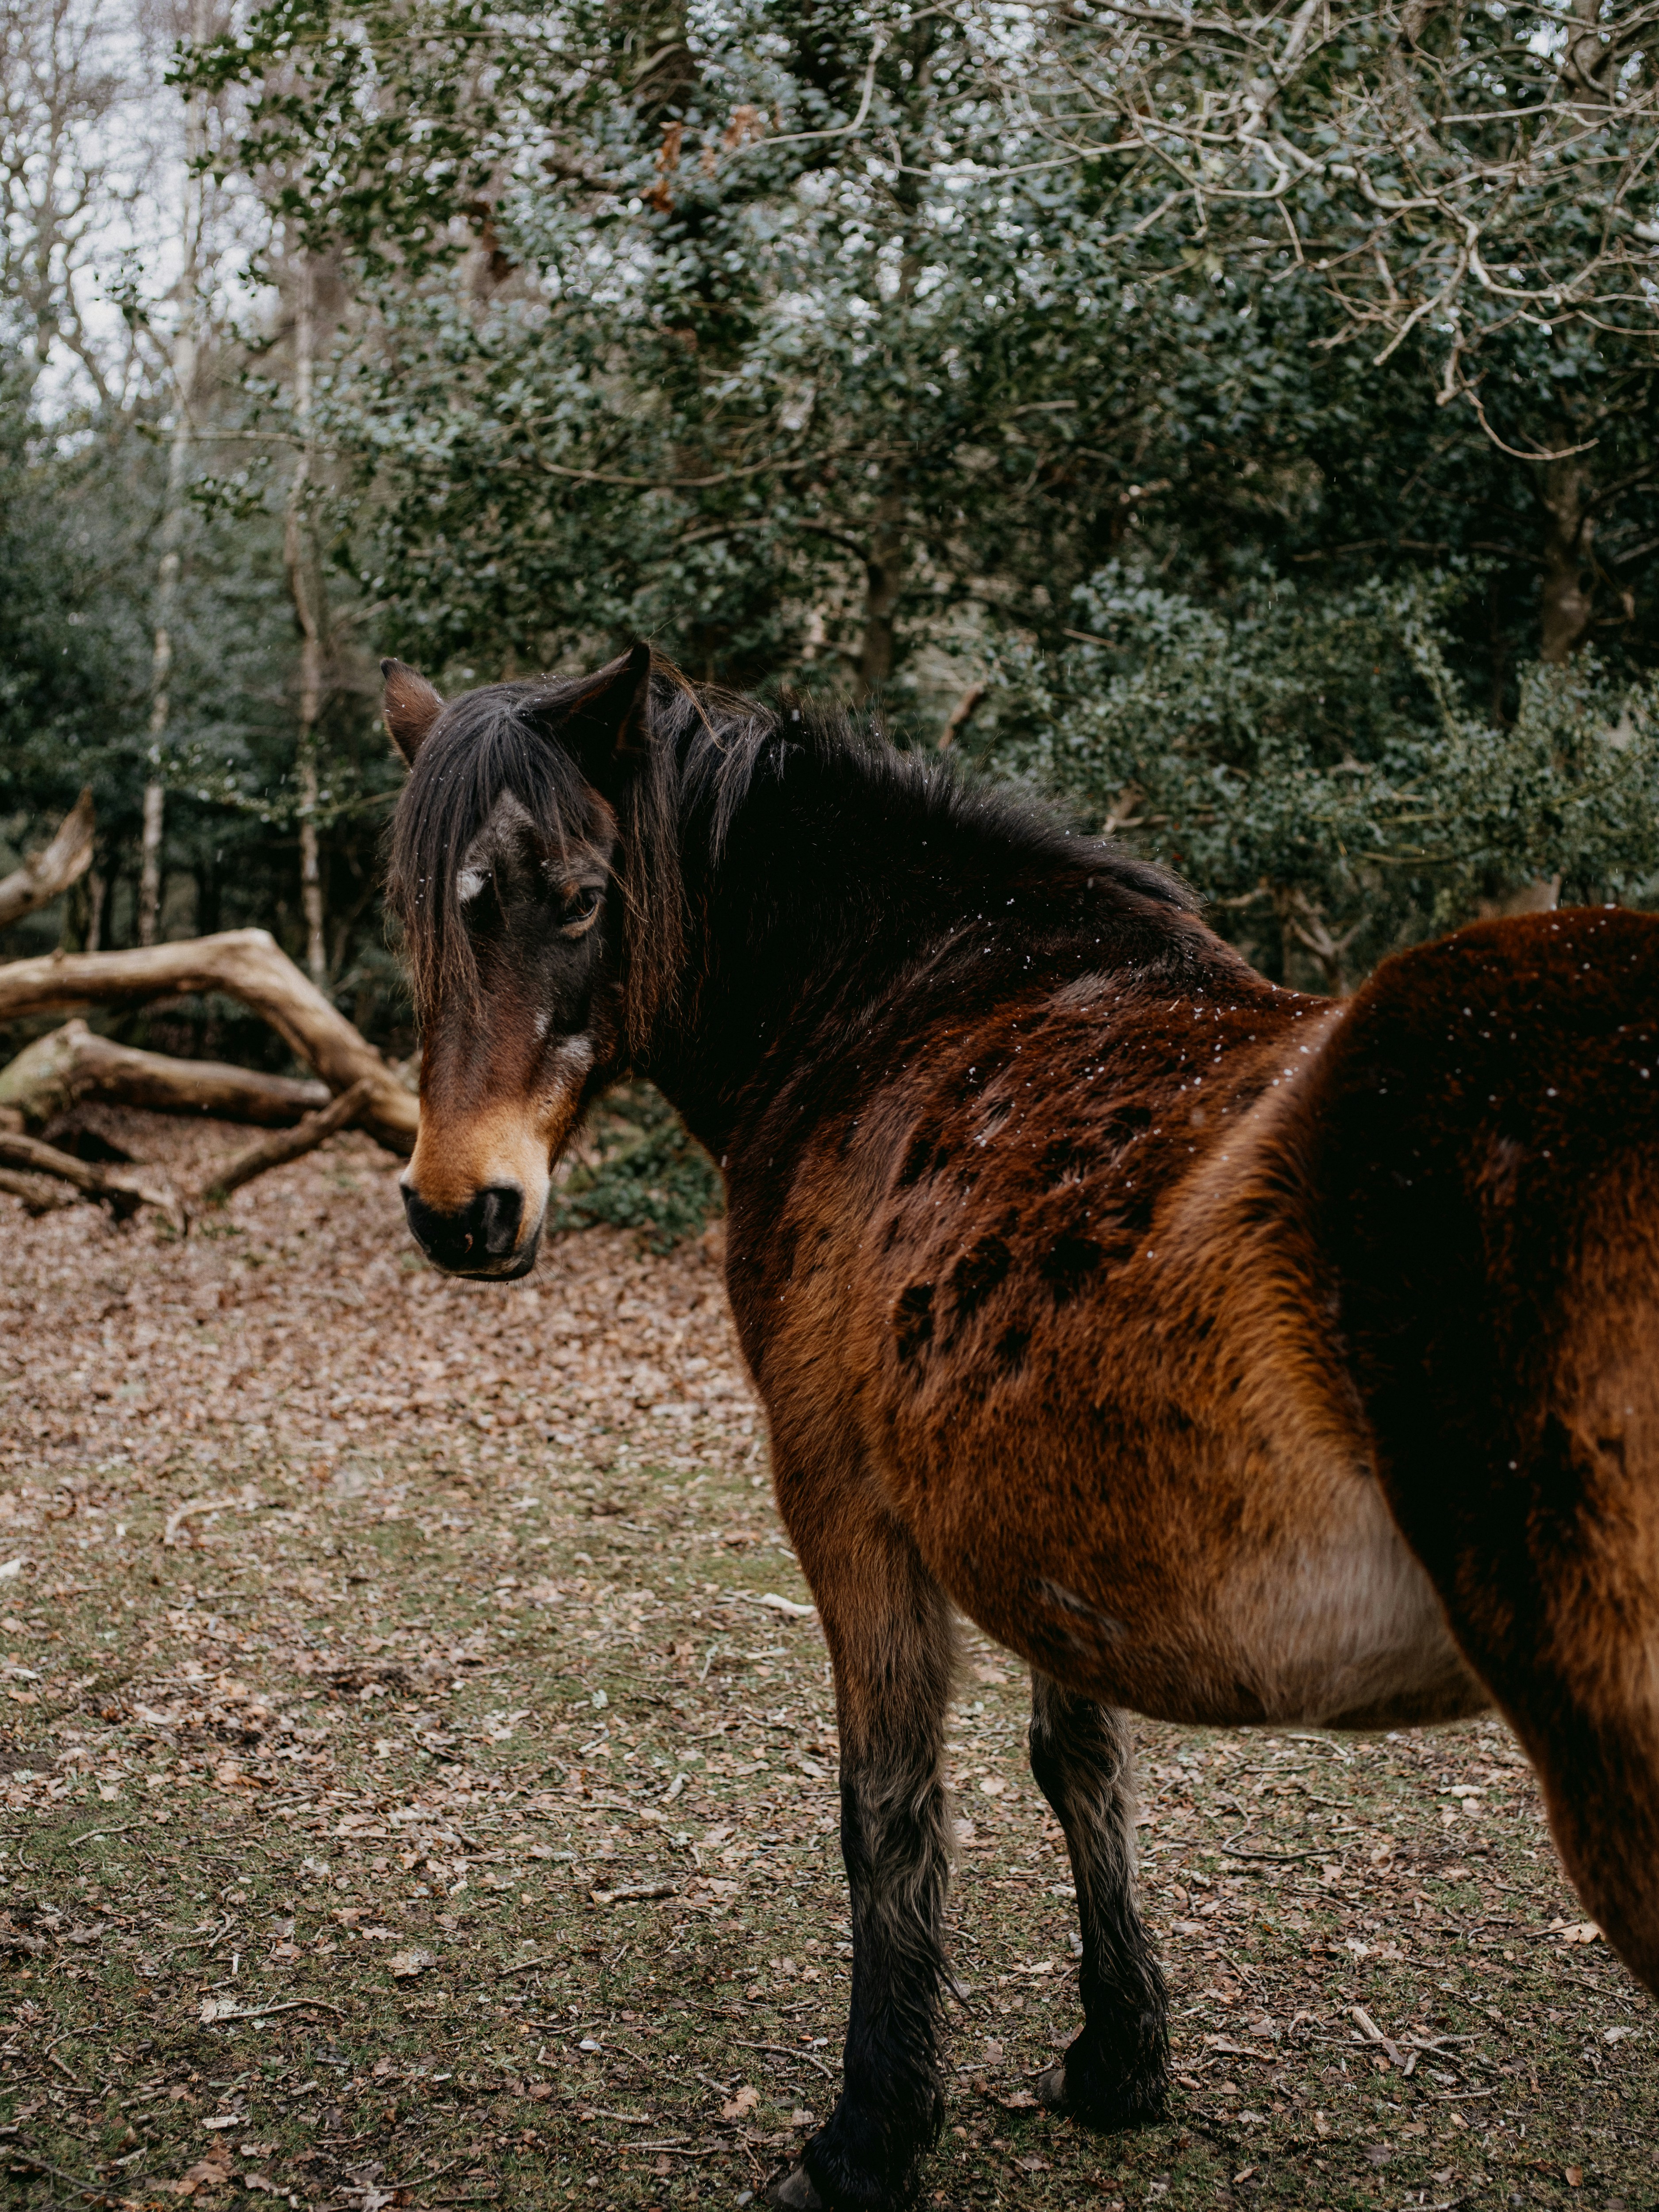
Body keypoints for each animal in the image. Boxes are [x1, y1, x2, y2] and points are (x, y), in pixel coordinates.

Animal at [381, 642, 1659, 2212]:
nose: (460, 1208)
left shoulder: (846, 1504)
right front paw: (1118, 2058)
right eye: (420, 910)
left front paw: (869, 2135)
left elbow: (888, 1811)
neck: (902, 1000)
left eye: (573, 895)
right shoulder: (1043, 1518)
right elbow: (1082, 1772)